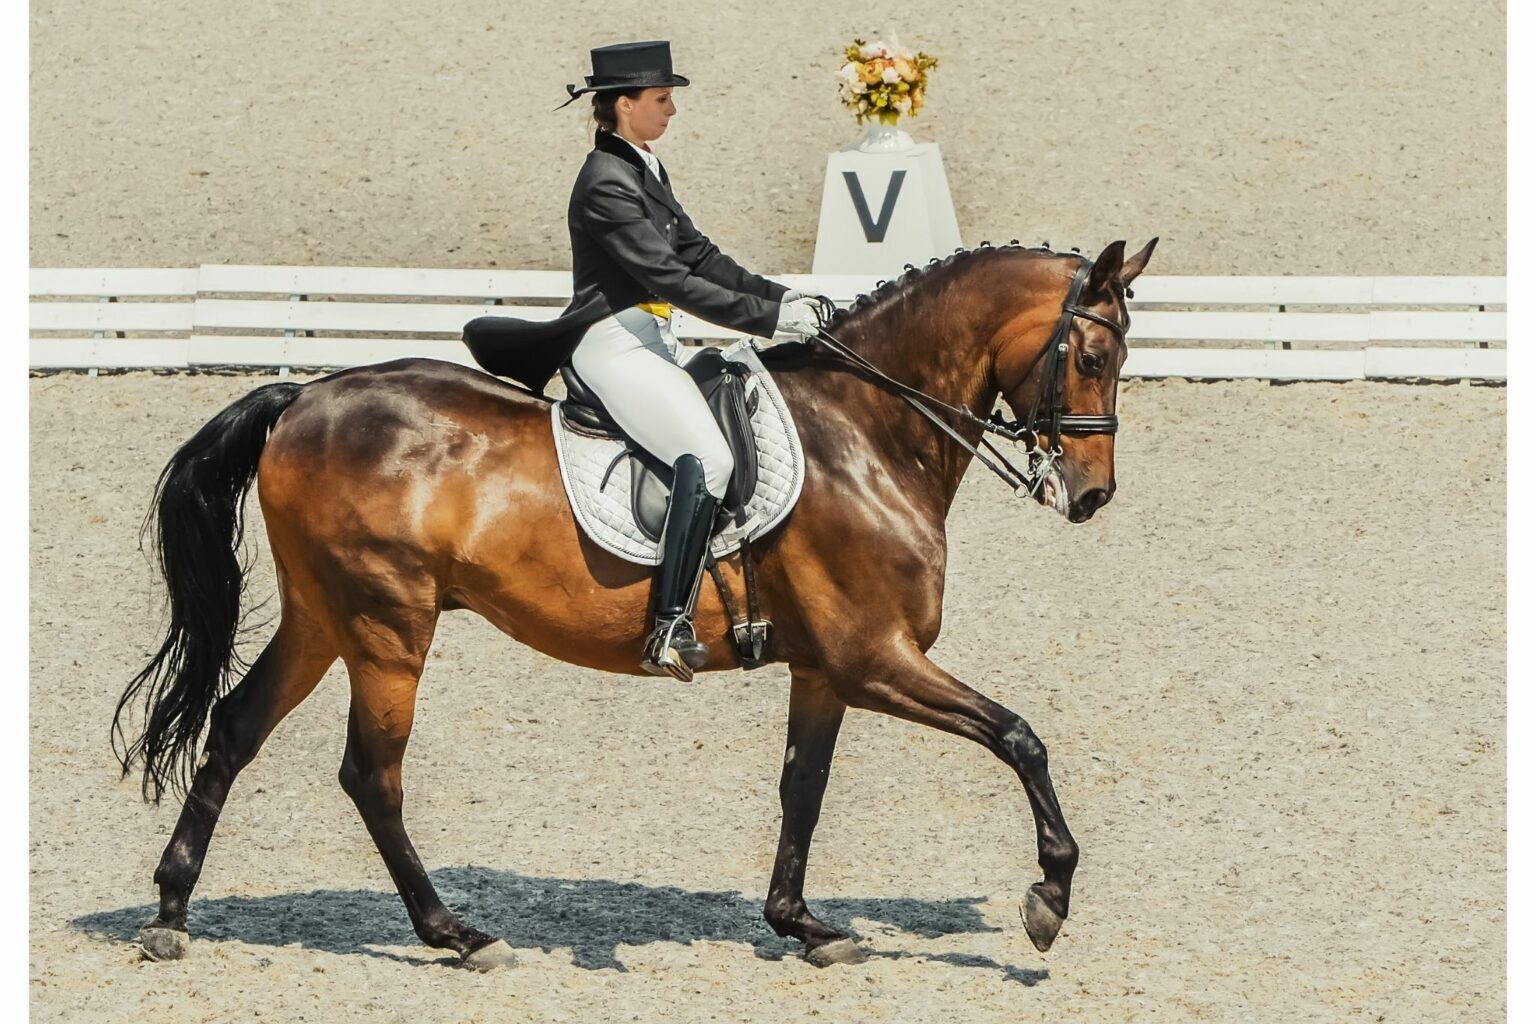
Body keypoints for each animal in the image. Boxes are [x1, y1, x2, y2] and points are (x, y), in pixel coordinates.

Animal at [113, 237, 1157, 969]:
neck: (868, 432)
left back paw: (171, 911)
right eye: (1091, 355)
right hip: (386, 627)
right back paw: (457, 934)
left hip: (323, 618)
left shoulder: (827, 669)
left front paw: (802, 924)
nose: (1093, 495)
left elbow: (803, 789)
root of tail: (302, 397)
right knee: (372, 776)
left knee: (234, 728)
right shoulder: (876, 656)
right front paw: (1049, 897)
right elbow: (1020, 736)